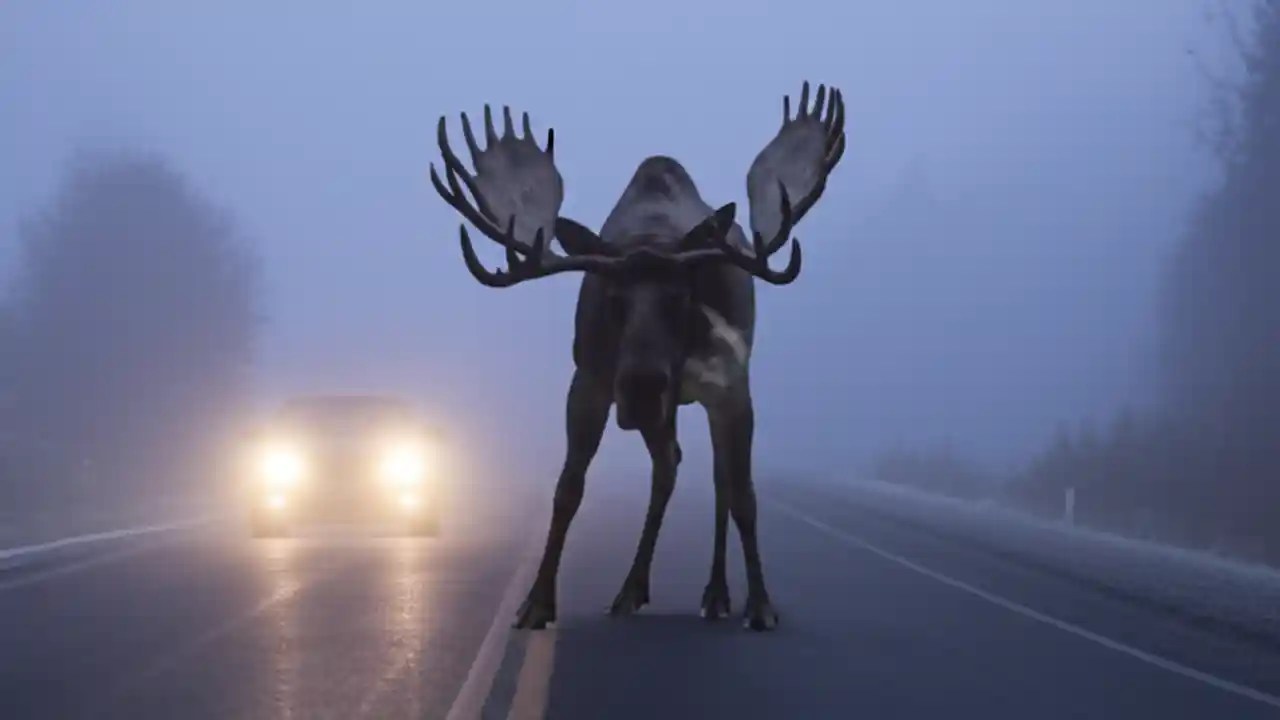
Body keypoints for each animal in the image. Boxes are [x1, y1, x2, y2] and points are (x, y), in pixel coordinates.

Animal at [428, 82, 846, 631]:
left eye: (681, 296)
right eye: (612, 299)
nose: (644, 388)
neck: (652, 236)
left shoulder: (731, 384)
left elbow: (743, 493)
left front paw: (760, 604)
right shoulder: (589, 378)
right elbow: (568, 488)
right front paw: (536, 602)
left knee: (720, 479)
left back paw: (716, 592)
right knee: (669, 465)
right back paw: (633, 588)